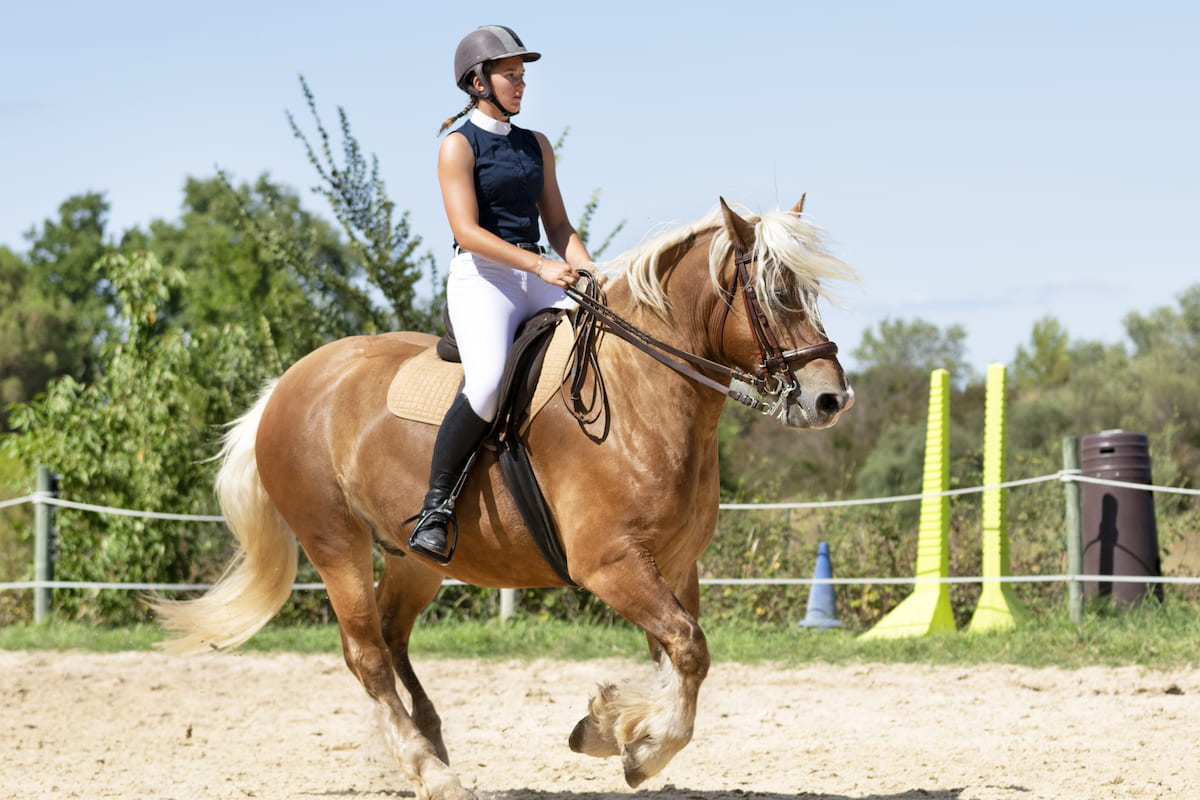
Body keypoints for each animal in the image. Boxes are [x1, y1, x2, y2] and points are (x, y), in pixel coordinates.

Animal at [155, 198, 860, 800]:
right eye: (775, 293)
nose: (830, 399)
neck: (642, 393)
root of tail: (288, 385)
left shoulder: (676, 567)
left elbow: (677, 660)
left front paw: (613, 728)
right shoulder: (613, 565)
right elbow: (689, 650)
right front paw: (639, 747)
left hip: (414, 558)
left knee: (391, 633)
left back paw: (433, 744)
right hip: (335, 544)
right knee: (367, 655)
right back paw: (430, 770)